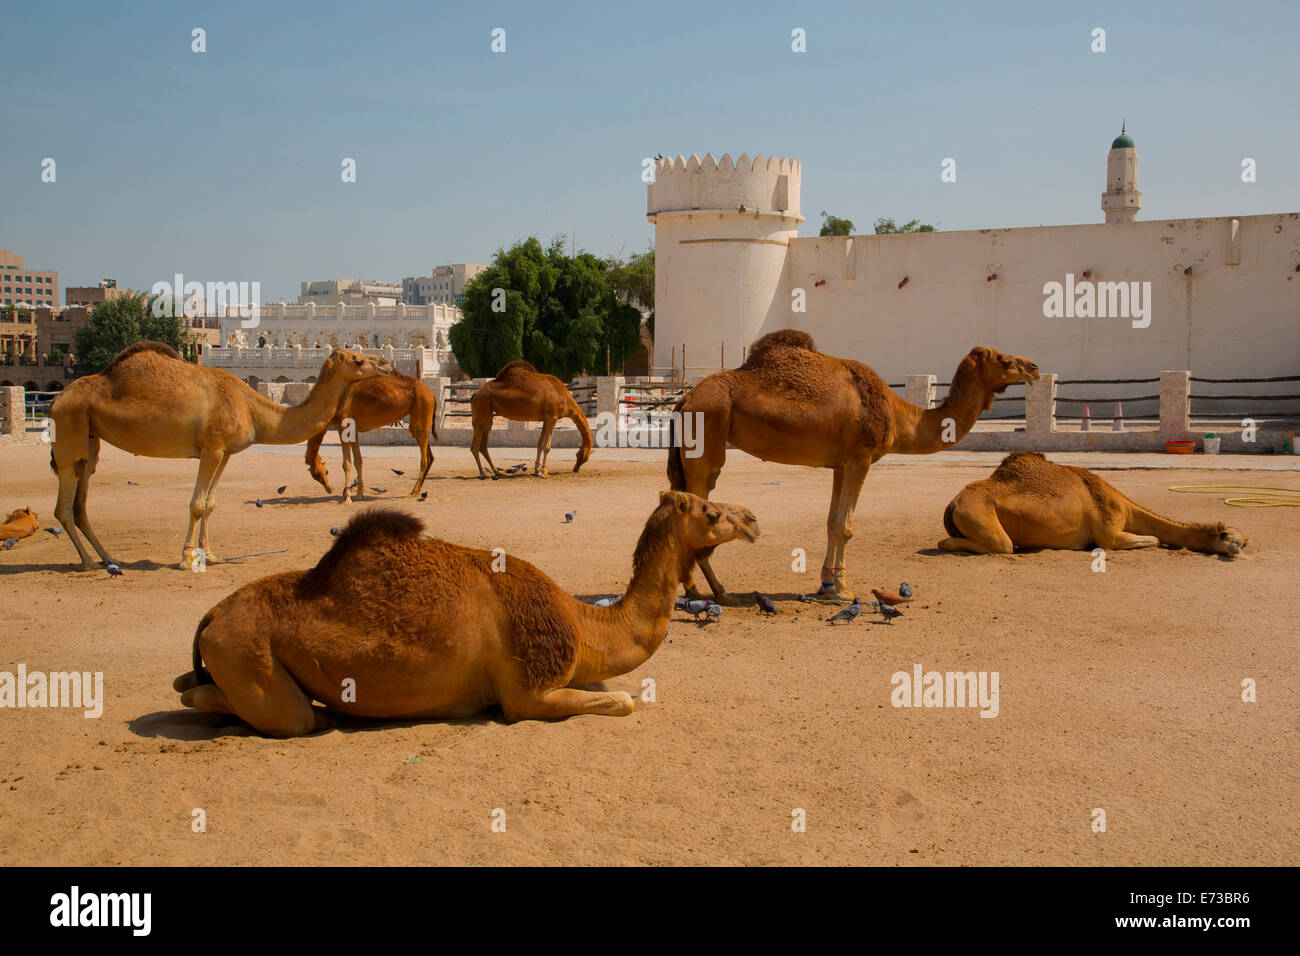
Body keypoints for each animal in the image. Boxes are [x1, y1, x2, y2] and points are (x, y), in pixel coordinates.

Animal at [49, 342, 391, 571]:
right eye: (358, 359)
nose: (387, 363)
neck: (251, 408)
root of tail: (54, 400)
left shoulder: (226, 452)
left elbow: (211, 503)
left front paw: (210, 554)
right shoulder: (211, 448)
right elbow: (197, 504)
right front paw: (187, 558)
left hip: (90, 438)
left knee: (81, 498)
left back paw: (107, 558)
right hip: (68, 429)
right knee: (63, 502)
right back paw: (88, 562)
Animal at [171, 491, 759, 736]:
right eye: (712, 512)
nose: (752, 520)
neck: (582, 622)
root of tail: (208, 616)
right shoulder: (528, 693)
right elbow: (622, 702)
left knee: (187, 683)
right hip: (249, 655)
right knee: (289, 715)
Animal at [304, 371, 439, 502]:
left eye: (326, 472)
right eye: (315, 476)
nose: (329, 489)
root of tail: (431, 393)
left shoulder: (344, 425)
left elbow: (346, 463)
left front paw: (347, 498)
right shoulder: (353, 428)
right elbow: (358, 461)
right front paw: (359, 495)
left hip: (422, 408)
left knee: (424, 457)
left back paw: (414, 493)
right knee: (430, 455)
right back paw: (416, 490)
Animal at [668, 330, 1040, 604]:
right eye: (1004, 359)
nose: (1034, 367)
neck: (899, 413)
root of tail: (684, 398)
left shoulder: (840, 463)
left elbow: (832, 522)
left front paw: (826, 586)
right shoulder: (862, 456)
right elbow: (845, 526)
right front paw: (844, 592)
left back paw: (706, 590)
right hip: (707, 441)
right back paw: (706, 592)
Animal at [938, 452, 1248, 557]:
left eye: (1243, 541)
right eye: (1228, 536)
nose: (1237, 548)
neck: (1124, 505)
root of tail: (953, 503)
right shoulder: (1109, 533)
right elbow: (1155, 539)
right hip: (980, 515)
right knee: (1002, 545)